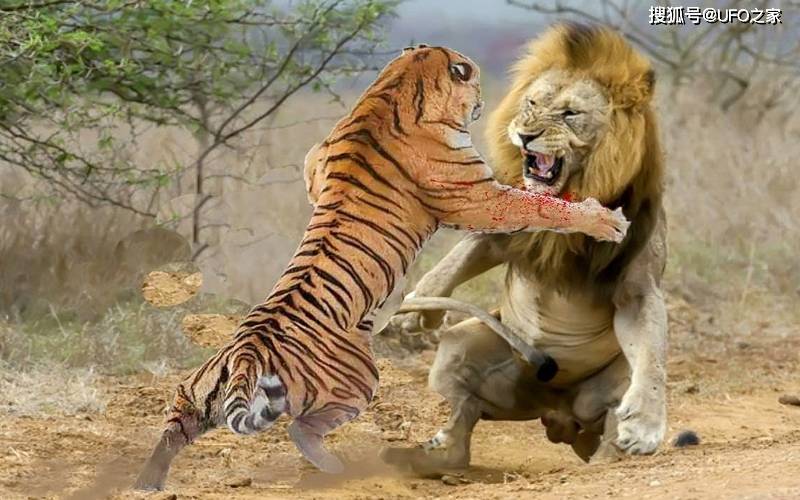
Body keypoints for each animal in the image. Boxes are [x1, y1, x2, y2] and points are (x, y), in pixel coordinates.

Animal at [133, 44, 630, 491]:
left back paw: (146, 482)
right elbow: (541, 205)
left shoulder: (316, 161)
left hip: (194, 394)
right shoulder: (477, 196)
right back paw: (337, 471)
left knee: (172, 428)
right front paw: (605, 221)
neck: (396, 85)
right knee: (300, 428)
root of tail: (246, 355)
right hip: (358, 380)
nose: (485, 101)